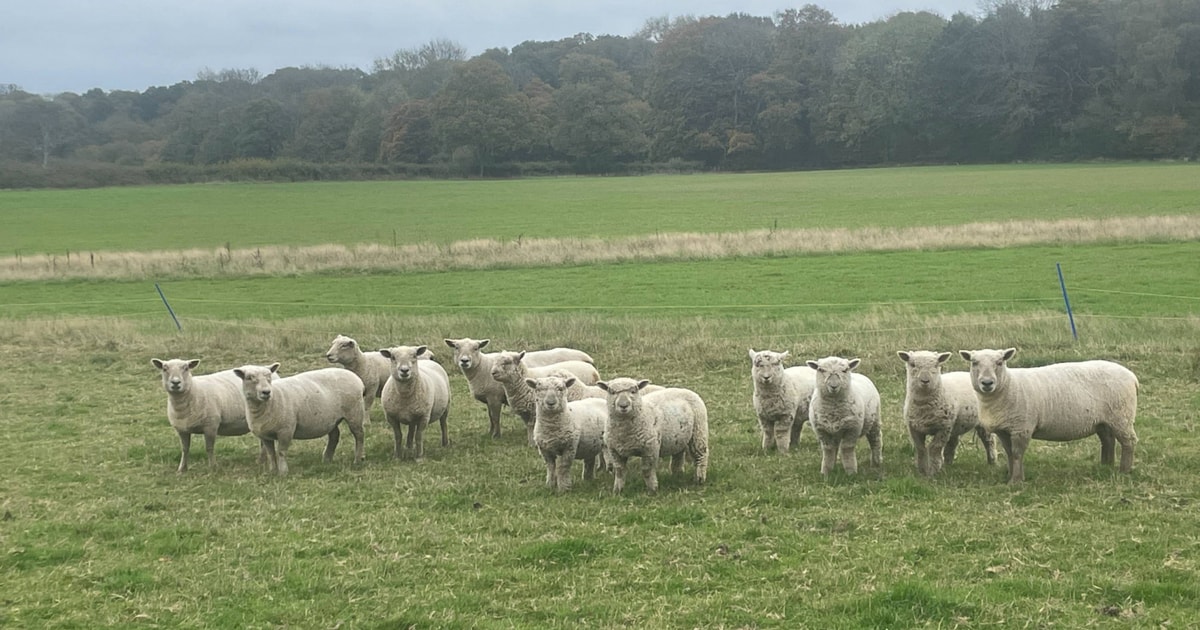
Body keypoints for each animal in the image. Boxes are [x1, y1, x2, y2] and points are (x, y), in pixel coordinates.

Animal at [232, 363, 365, 476]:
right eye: (249, 378)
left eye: (269, 376)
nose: (266, 392)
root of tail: (356, 378)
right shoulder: (265, 435)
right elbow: (271, 454)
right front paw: (272, 471)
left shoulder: (286, 429)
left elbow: (281, 452)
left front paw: (283, 472)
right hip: (331, 418)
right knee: (334, 436)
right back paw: (327, 459)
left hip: (354, 411)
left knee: (359, 435)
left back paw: (357, 460)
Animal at [958, 348, 1139, 484]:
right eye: (974, 362)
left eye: (1000, 362)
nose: (987, 383)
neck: (1008, 385)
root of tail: (1132, 376)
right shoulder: (1004, 429)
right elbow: (1010, 454)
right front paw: (1011, 475)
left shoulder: (1022, 427)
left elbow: (1017, 454)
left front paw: (1016, 481)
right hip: (1104, 420)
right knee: (1108, 440)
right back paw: (1105, 466)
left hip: (1122, 416)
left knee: (1128, 441)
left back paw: (1124, 470)